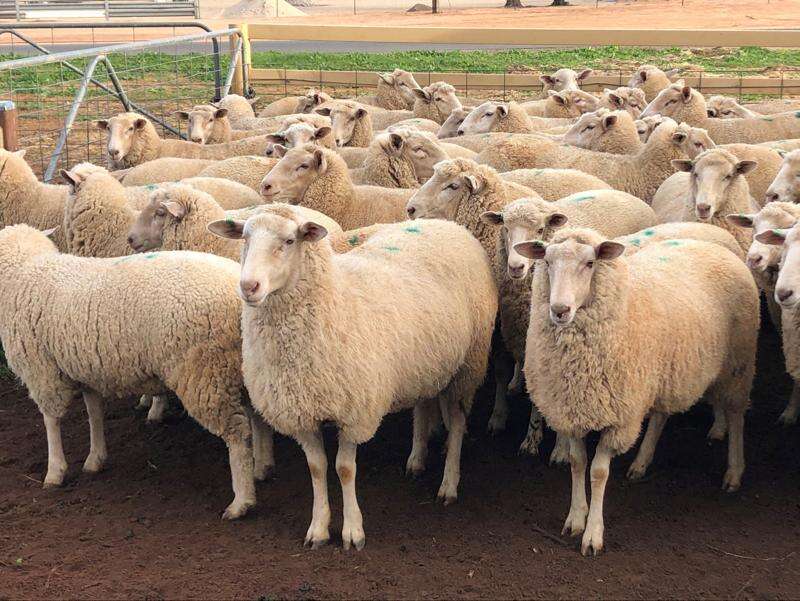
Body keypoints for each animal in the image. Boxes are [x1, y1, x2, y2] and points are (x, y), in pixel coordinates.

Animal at [0, 224, 274, 519]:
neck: (25, 270)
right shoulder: (86, 367)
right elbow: (94, 412)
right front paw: (96, 458)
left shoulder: (41, 369)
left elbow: (52, 421)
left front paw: (55, 471)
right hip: (239, 366)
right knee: (257, 417)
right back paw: (261, 466)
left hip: (204, 373)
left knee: (237, 435)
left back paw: (241, 500)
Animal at [208, 209, 497, 550]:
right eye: (245, 238)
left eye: (290, 241)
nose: (248, 286)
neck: (333, 302)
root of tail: (446, 224)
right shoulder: (301, 412)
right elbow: (317, 468)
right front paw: (318, 528)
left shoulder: (355, 411)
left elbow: (345, 469)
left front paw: (352, 531)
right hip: (426, 365)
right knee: (423, 405)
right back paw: (416, 458)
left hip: (468, 366)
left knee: (459, 423)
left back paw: (449, 484)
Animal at [479, 191, 656, 453]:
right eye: (505, 227)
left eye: (541, 228)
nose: (516, 267)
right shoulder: (511, 331)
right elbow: (502, 373)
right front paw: (499, 417)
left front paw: (553, 444)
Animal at [516, 227, 758, 555]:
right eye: (547, 262)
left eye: (590, 263)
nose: (559, 310)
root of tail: (716, 246)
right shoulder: (572, 409)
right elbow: (578, 464)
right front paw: (576, 518)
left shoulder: (620, 418)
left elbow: (598, 472)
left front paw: (593, 534)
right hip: (662, 373)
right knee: (660, 415)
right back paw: (641, 463)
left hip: (738, 364)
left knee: (735, 414)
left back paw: (734, 472)